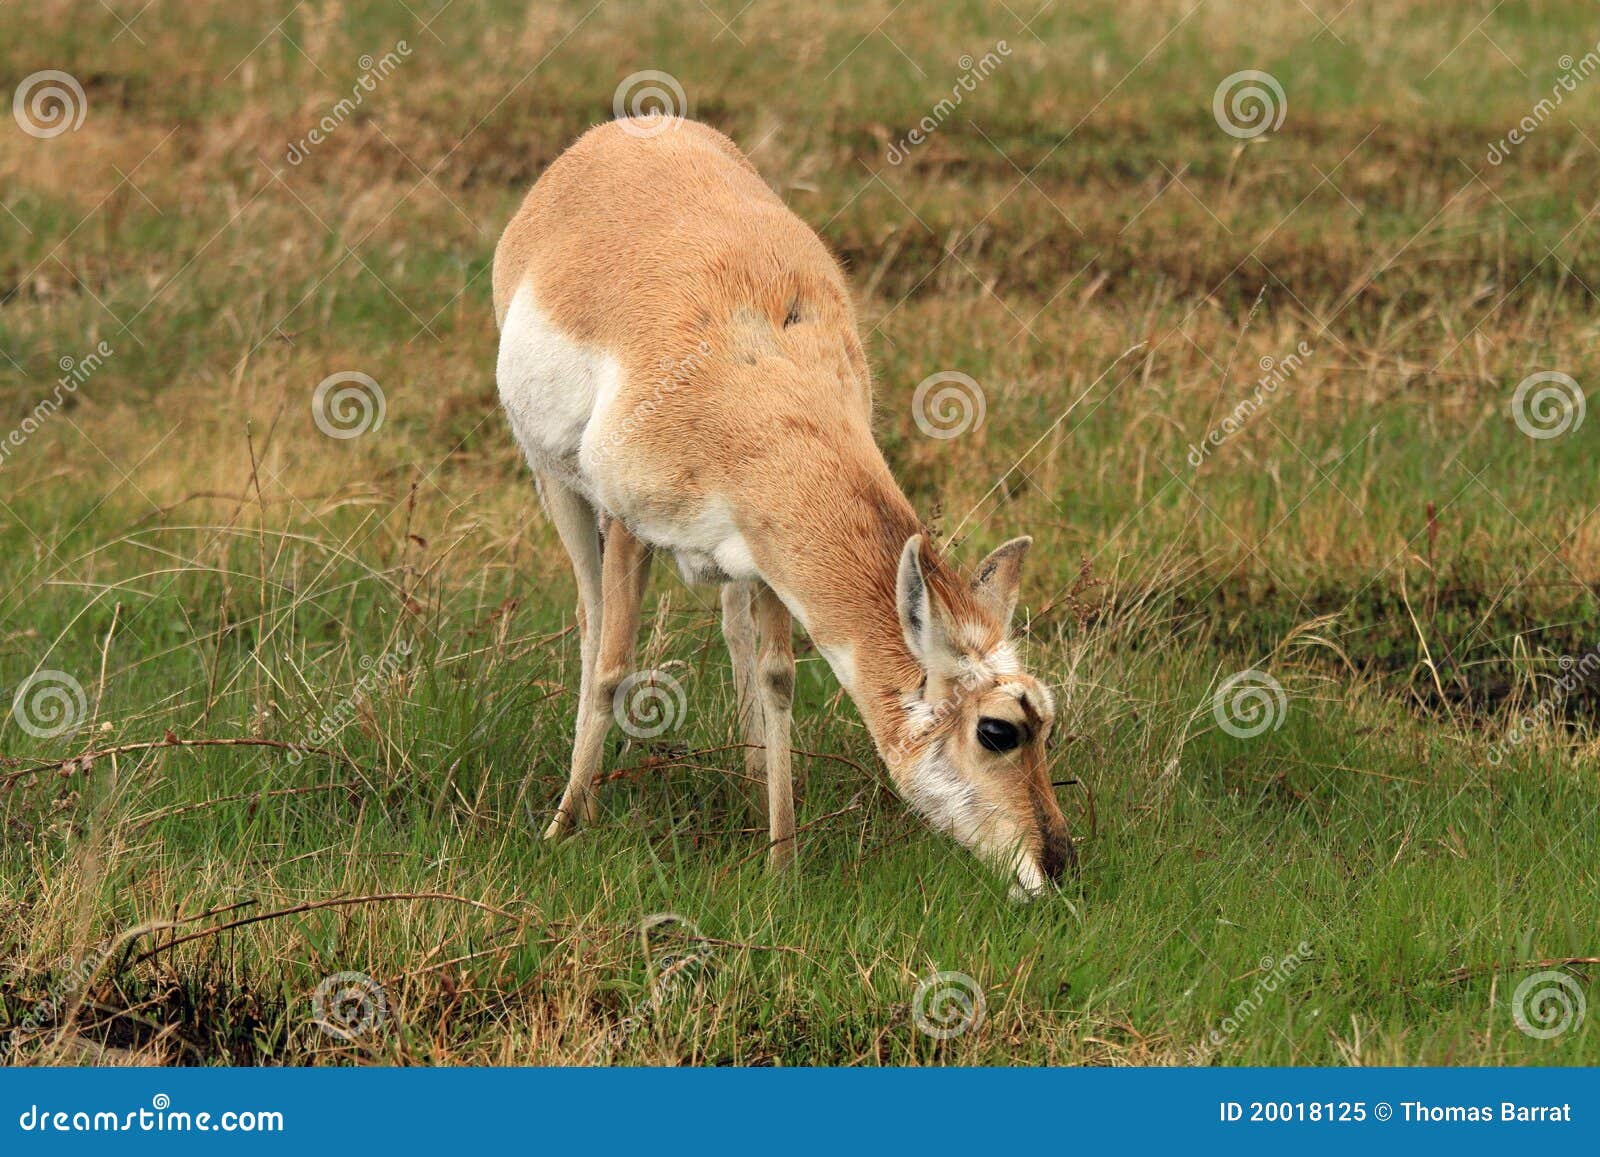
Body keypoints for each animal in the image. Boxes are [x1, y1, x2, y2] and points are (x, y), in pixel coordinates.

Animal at [492, 116, 1074, 898]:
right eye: (997, 729)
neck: (753, 383)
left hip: (731, 567)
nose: (1059, 864)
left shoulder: (768, 559)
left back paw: (745, 771)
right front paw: (562, 828)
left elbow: (778, 677)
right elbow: (614, 665)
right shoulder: (630, 527)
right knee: (590, 621)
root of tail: (628, 128)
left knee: (733, 632)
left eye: (1047, 722)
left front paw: (781, 857)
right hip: (556, 484)